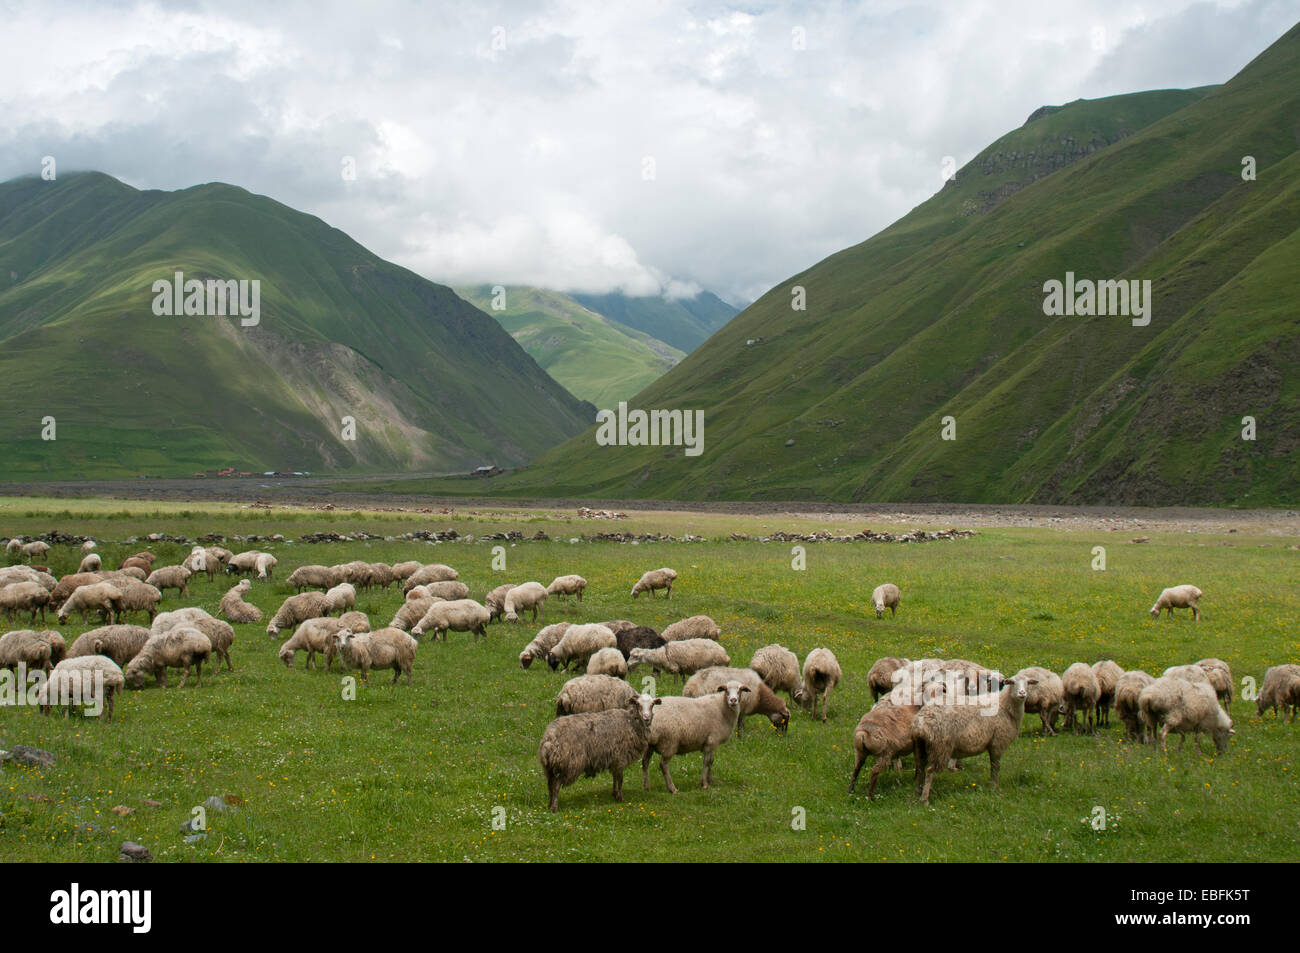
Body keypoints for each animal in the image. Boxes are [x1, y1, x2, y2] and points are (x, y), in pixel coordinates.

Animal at [912, 673, 1035, 805]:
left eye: (1028, 683)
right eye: (1012, 682)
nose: (1022, 693)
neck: (1005, 705)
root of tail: (920, 723)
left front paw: (992, 785)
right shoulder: (997, 742)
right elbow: (995, 766)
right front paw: (994, 786)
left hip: (921, 746)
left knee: (920, 767)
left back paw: (918, 790)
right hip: (940, 748)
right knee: (929, 771)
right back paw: (925, 799)